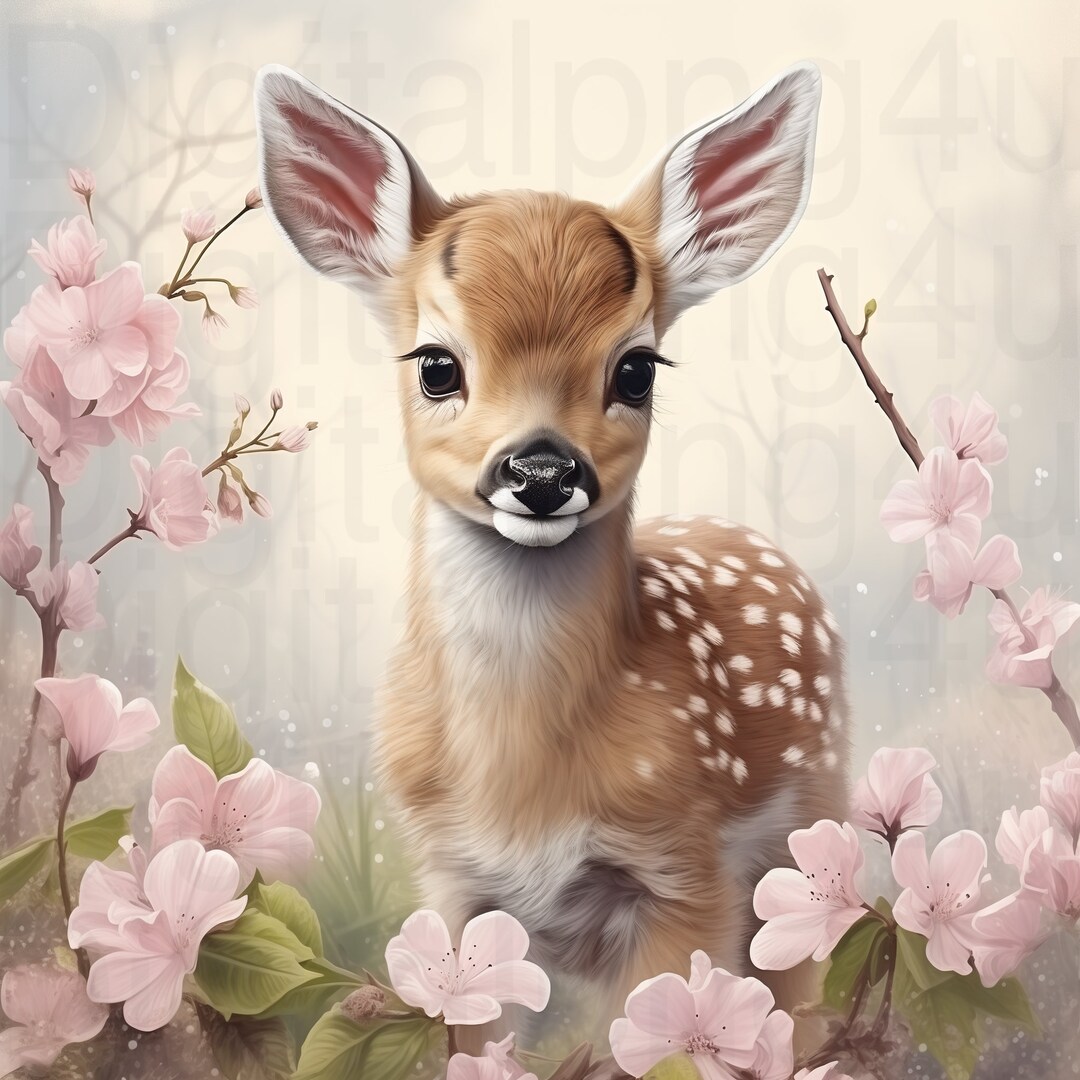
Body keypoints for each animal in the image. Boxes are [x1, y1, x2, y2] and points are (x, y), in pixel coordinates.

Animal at [254, 61, 850, 1049]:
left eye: (637, 370)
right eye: (436, 365)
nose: (541, 470)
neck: (521, 782)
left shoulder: (682, 864)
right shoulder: (451, 880)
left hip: (815, 815)